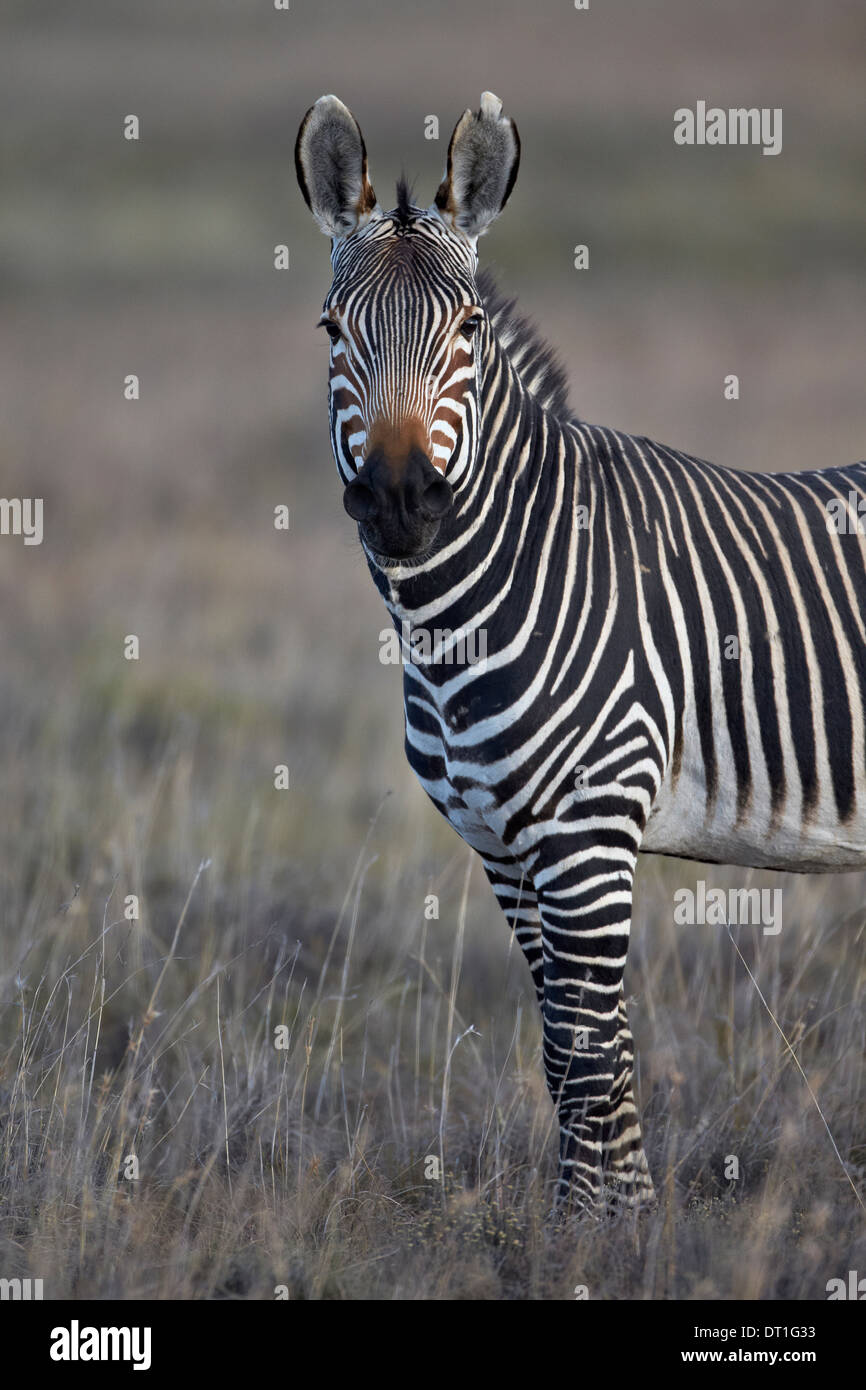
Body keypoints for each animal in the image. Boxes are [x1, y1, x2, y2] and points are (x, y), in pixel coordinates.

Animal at [295, 90, 866, 1213]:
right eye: (333, 329)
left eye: (468, 329)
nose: (398, 501)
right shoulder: (504, 849)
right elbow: (571, 1051)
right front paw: (612, 1217)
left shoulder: (590, 833)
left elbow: (591, 1049)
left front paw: (598, 1230)